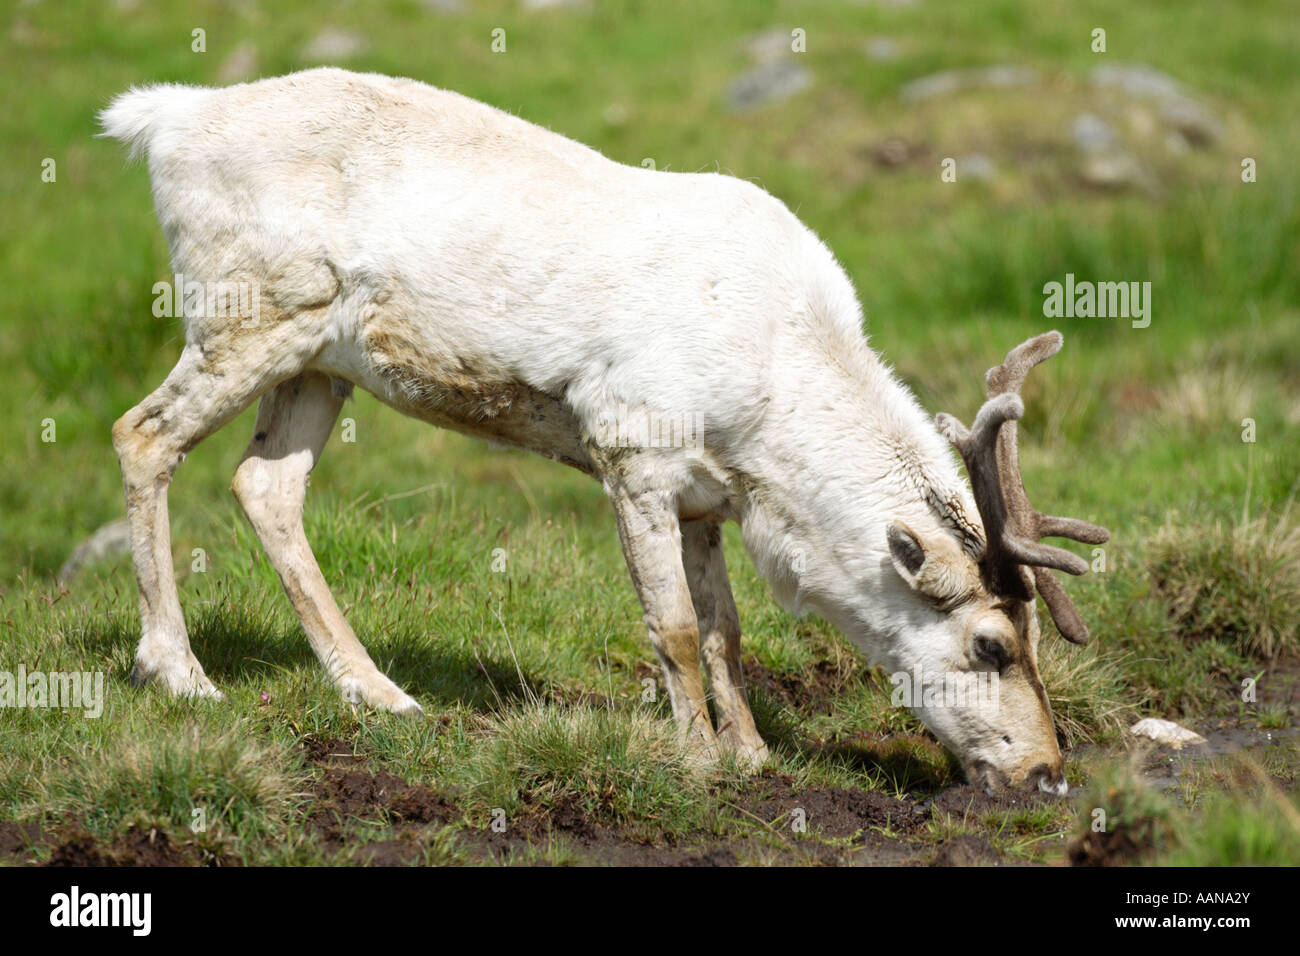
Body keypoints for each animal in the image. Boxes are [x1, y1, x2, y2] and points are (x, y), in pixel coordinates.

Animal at [100, 67, 1107, 794]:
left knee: (265, 484)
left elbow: (725, 631)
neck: (771, 415)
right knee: (142, 434)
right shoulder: (633, 450)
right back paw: (179, 673)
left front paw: (752, 755)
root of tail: (165, 120)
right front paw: (697, 760)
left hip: (320, 358)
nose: (1046, 773)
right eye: (991, 643)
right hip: (244, 316)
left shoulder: (707, 497)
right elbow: (672, 625)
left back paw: (379, 693)